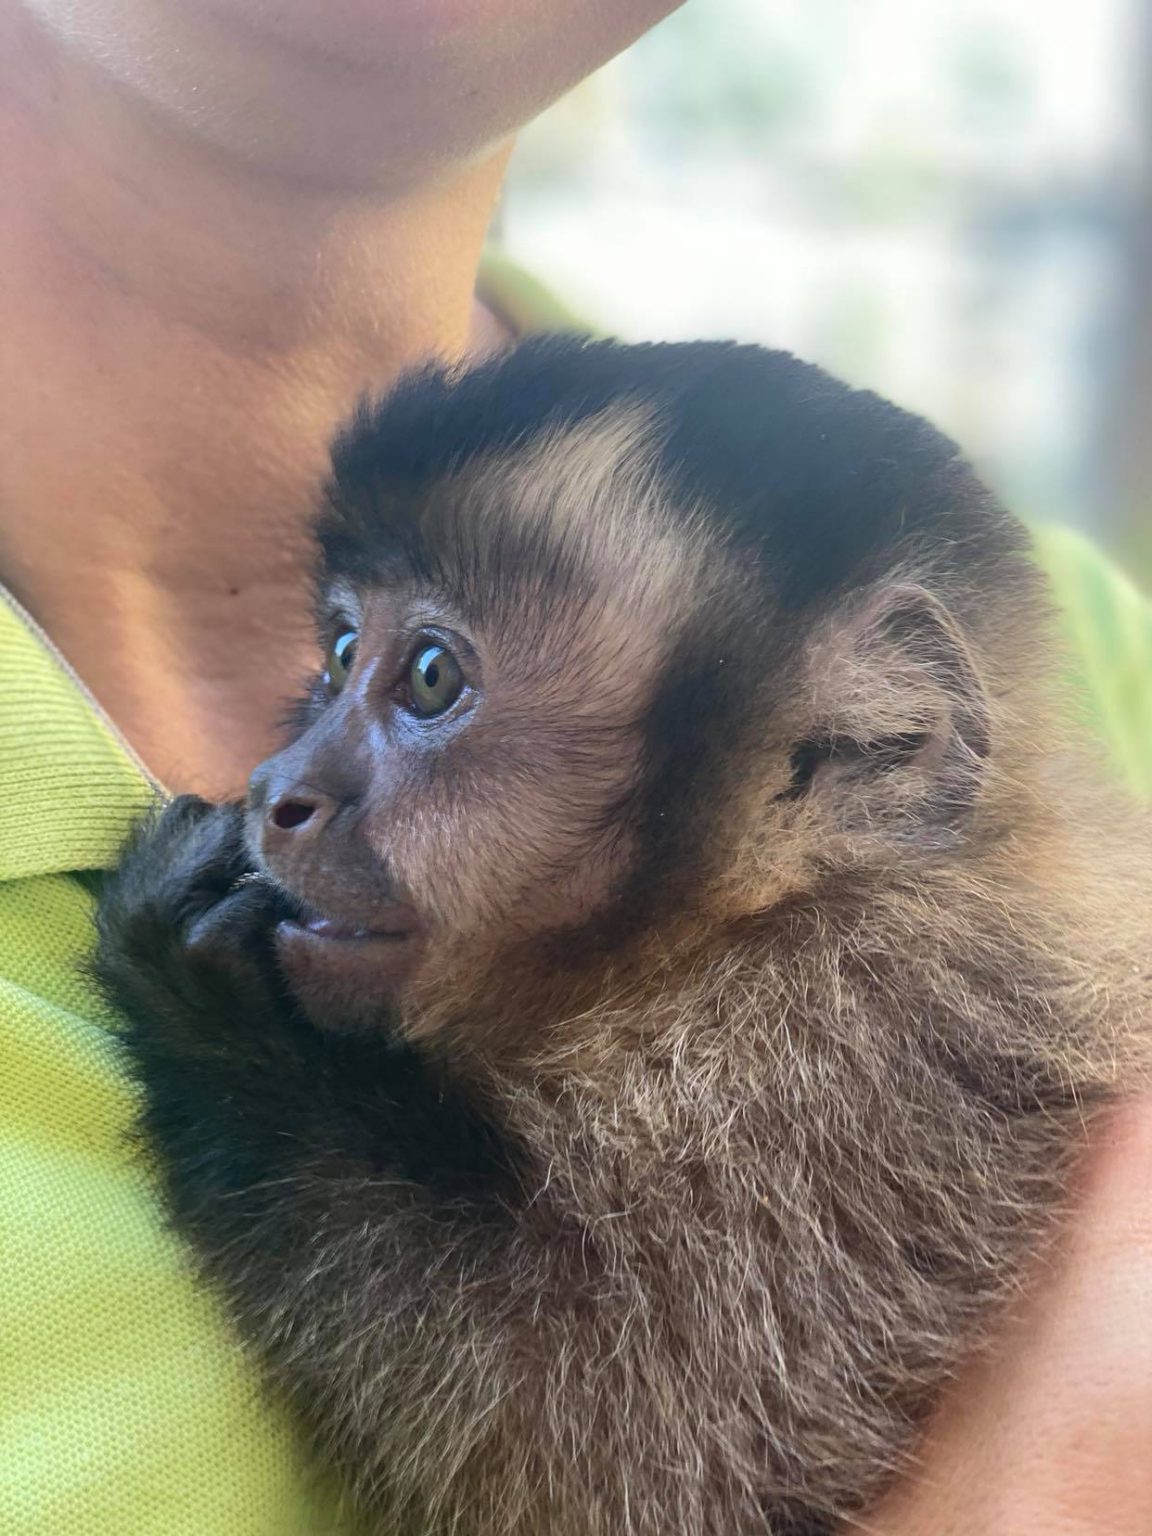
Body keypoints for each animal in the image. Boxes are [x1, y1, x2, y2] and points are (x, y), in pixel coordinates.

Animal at [95, 335, 1151, 1536]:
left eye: (429, 677)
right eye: (340, 651)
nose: (280, 788)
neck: (725, 934)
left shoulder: (876, 1030)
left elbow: (629, 1445)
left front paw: (207, 1009)